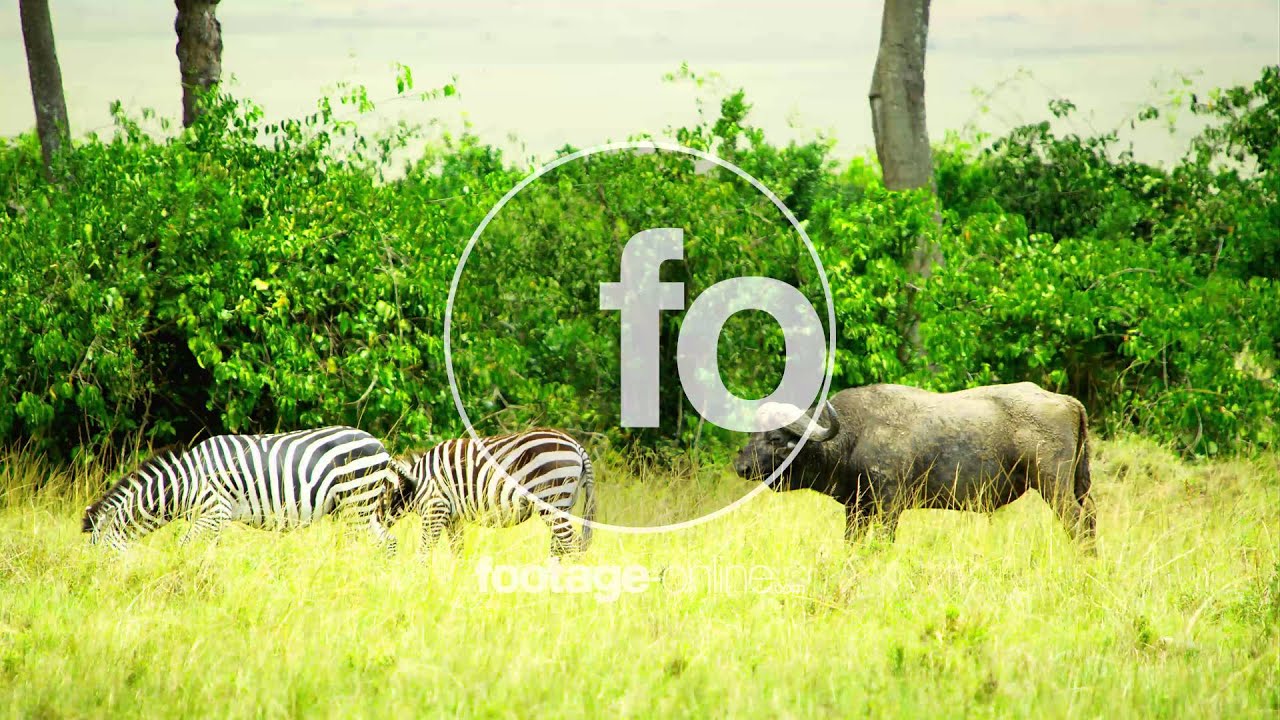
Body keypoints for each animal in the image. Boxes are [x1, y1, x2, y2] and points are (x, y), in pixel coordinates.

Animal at [82, 425, 403, 554]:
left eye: (99, 557)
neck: (186, 482)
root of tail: (380, 444)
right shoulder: (213, 521)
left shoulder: (214, 513)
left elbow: (184, 547)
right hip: (358, 506)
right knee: (388, 543)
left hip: (357, 501)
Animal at [385, 428, 598, 560]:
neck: (415, 483)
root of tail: (576, 446)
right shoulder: (453, 517)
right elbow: (458, 550)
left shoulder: (435, 508)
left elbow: (424, 551)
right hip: (564, 503)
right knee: (560, 546)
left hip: (551, 497)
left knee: (573, 544)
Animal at [733, 382, 1096, 549]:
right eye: (753, 433)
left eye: (776, 438)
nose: (741, 466)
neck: (857, 433)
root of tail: (1068, 401)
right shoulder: (856, 509)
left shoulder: (889, 506)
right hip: (1080, 486)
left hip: (1053, 486)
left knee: (1076, 522)